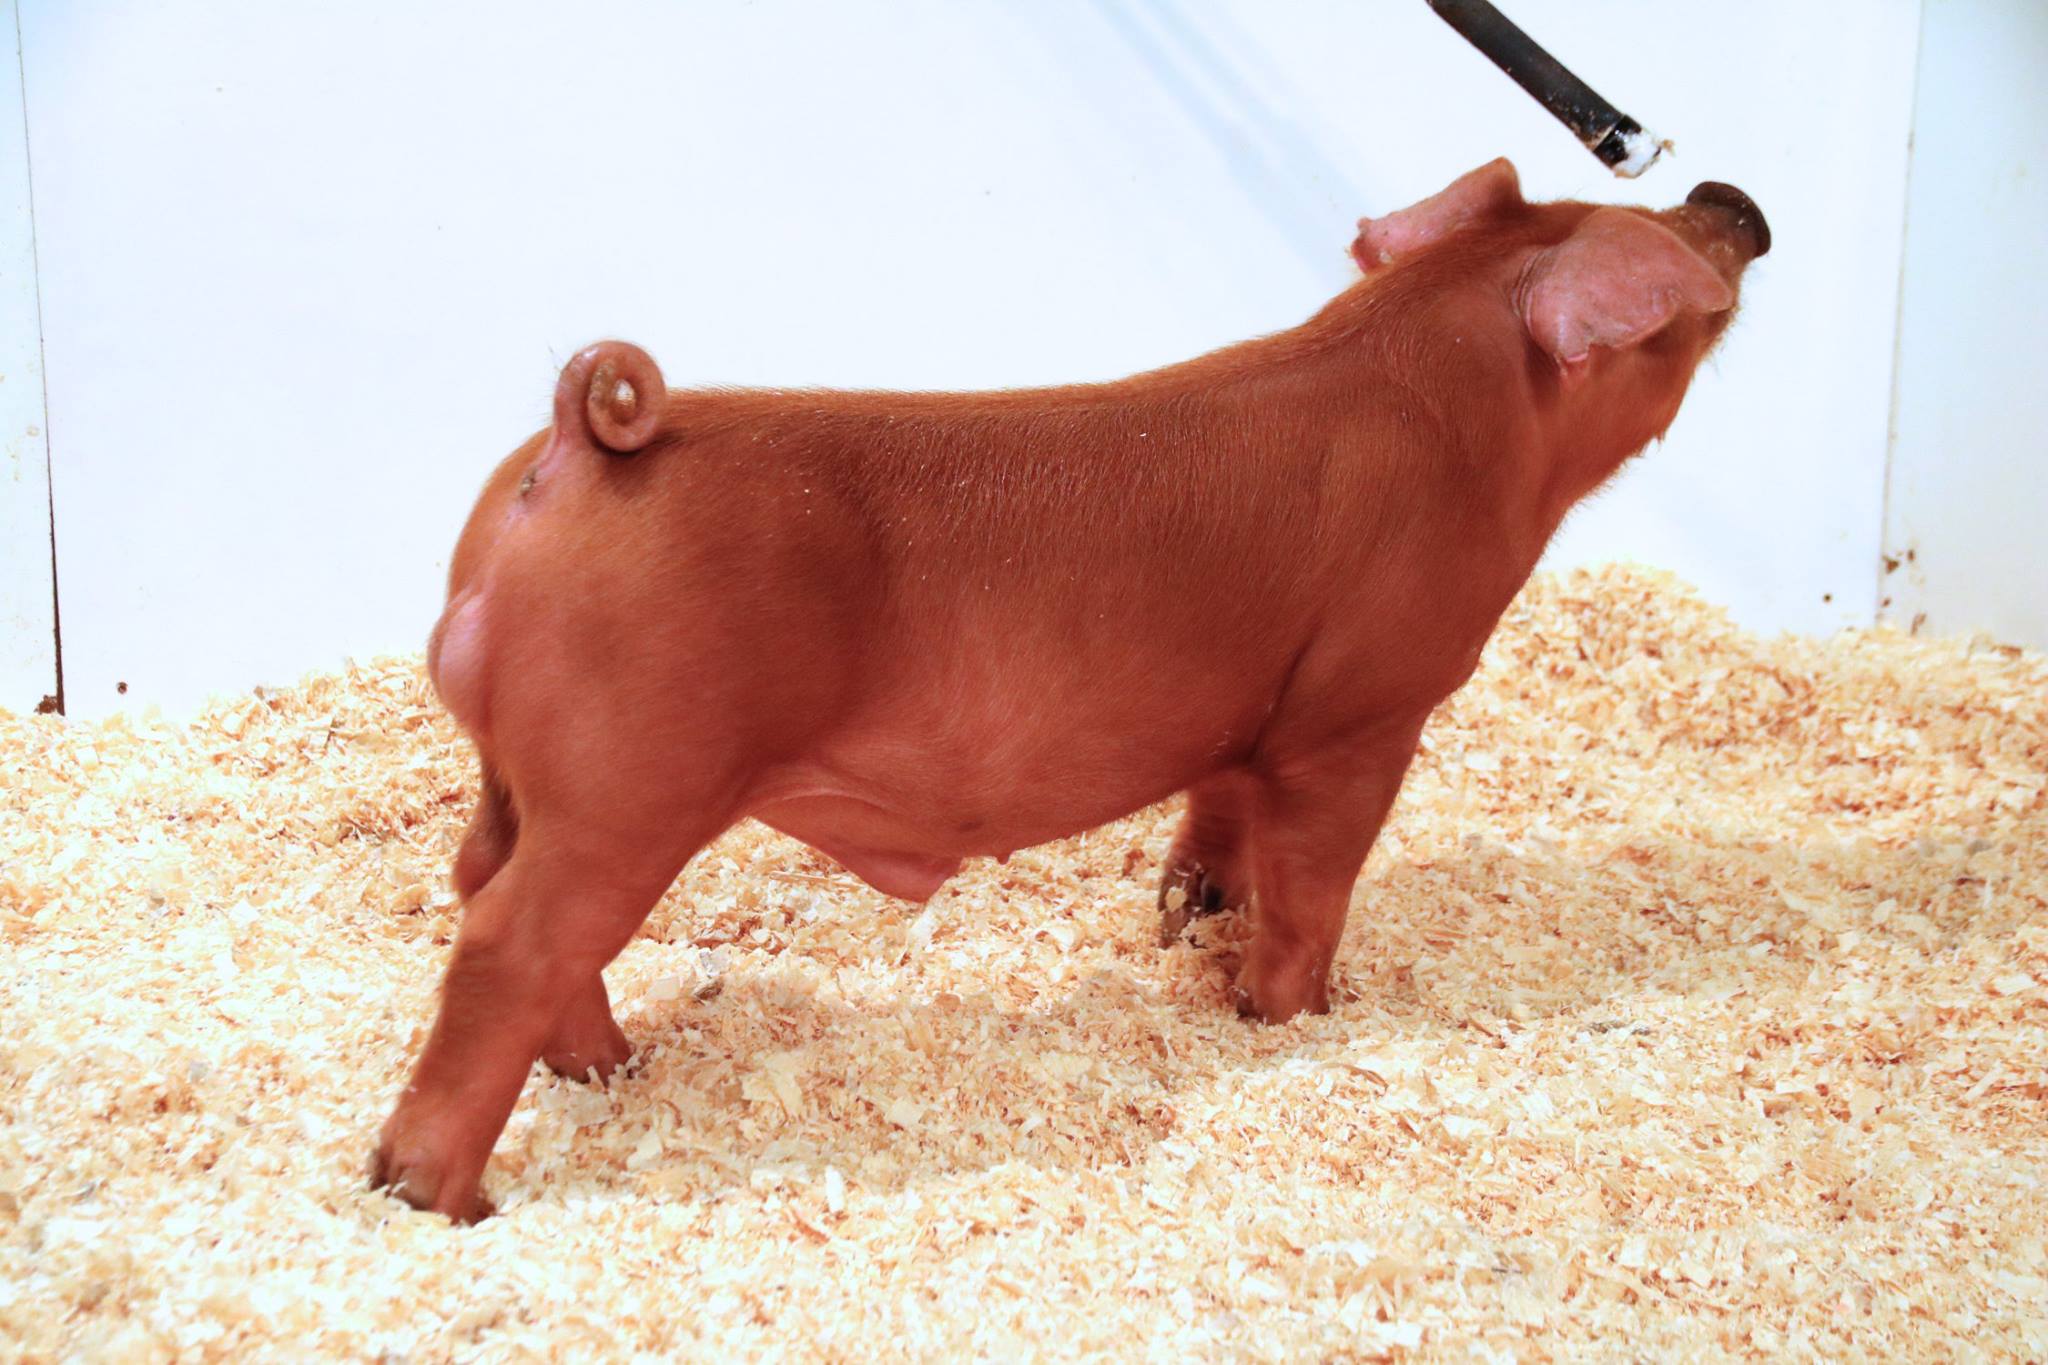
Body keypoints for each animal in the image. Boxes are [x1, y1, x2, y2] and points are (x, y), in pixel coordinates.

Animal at [373, 159, 1767, 1220]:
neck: (1457, 404)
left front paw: (1187, 918)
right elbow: (1313, 883)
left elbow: (1218, 824)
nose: (1732, 197)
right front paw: (1291, 1018)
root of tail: (571, 446)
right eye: (1666, 262)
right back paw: (435, 1195)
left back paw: (608, 1072)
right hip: (630, 782)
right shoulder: (1357, 714)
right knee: (508, 939)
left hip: (524, 775)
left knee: (479, 879)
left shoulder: (1240, 719)